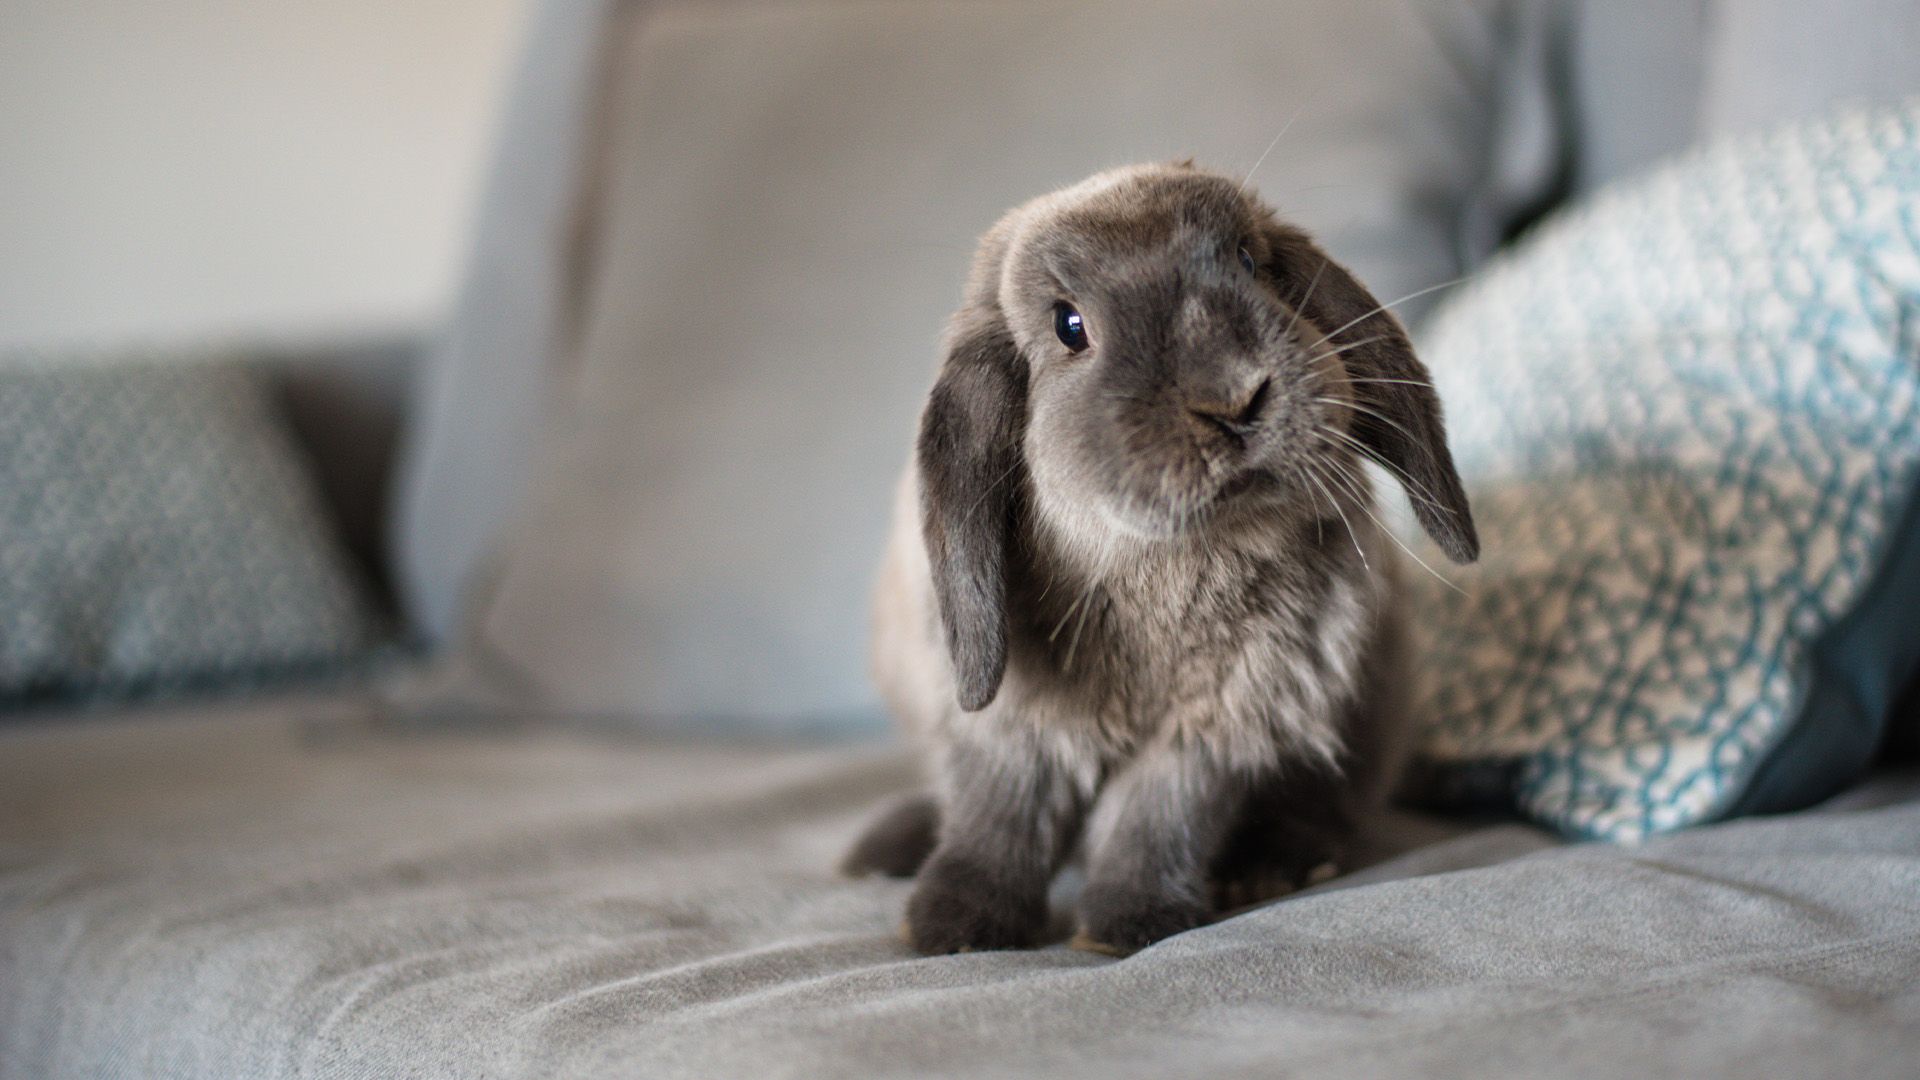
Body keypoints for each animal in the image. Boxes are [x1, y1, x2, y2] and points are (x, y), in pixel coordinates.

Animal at [841, 161, 1478, 957]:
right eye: (1069, 325)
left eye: (1249, 261)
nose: (1234, 397)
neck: (1168, 564)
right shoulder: (1011, 727)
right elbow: (999, 814)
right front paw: (951, 927)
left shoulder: (1217, 727)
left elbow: (1156, 818)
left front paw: (1128, 925)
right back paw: (885, 849)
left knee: (1327, 809)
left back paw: (1271, 868)